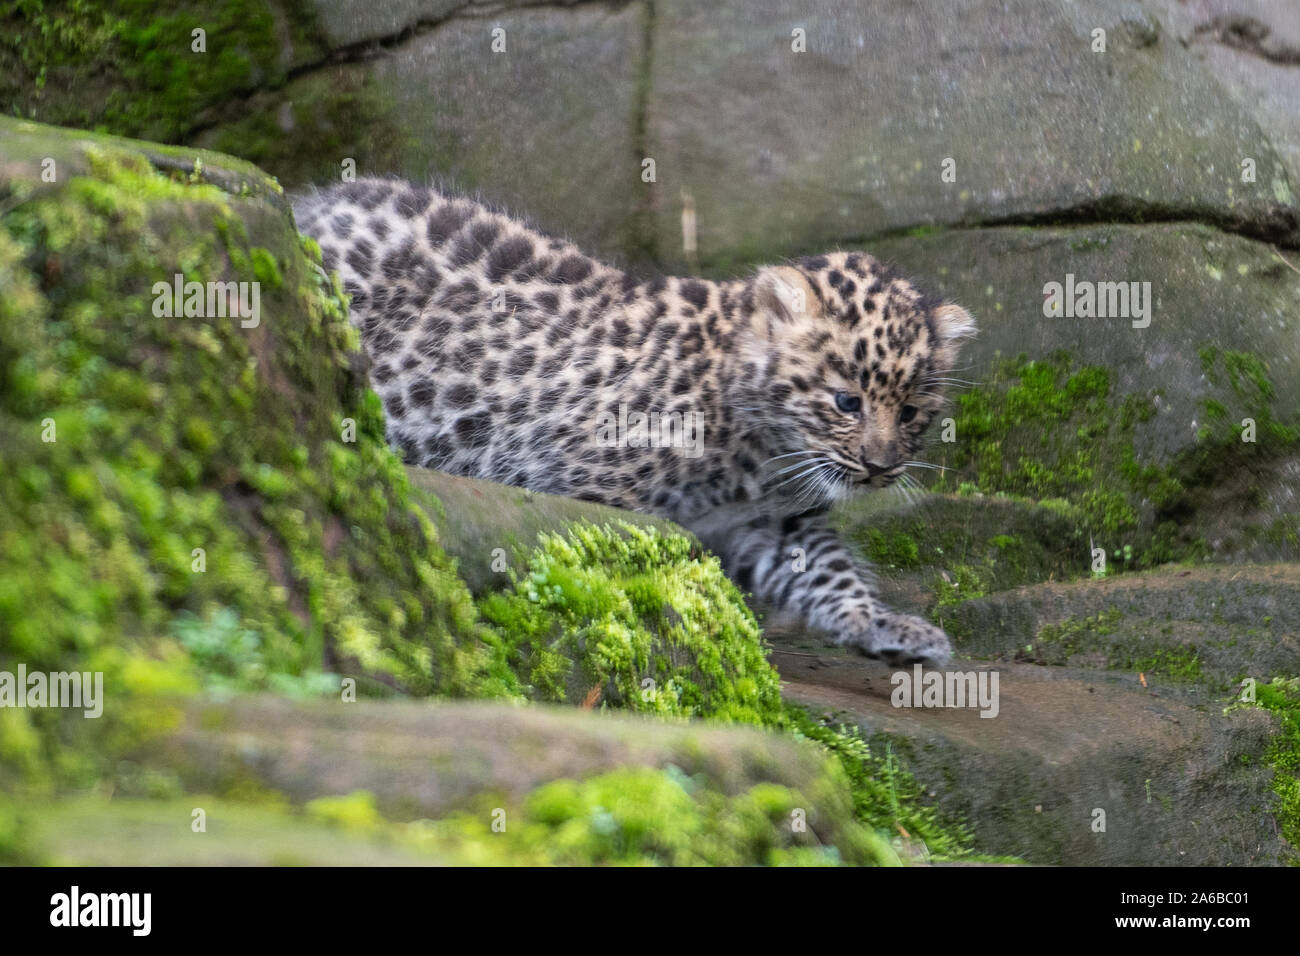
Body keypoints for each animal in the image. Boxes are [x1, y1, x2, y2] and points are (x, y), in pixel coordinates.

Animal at [292, 178, 976, 667]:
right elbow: (607, 557)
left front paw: (882, 624)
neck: (756, 450)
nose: (880, 469)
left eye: (910, 413)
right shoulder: (593, 485)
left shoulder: (770, 523)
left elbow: (830, 571)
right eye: (846, 402)